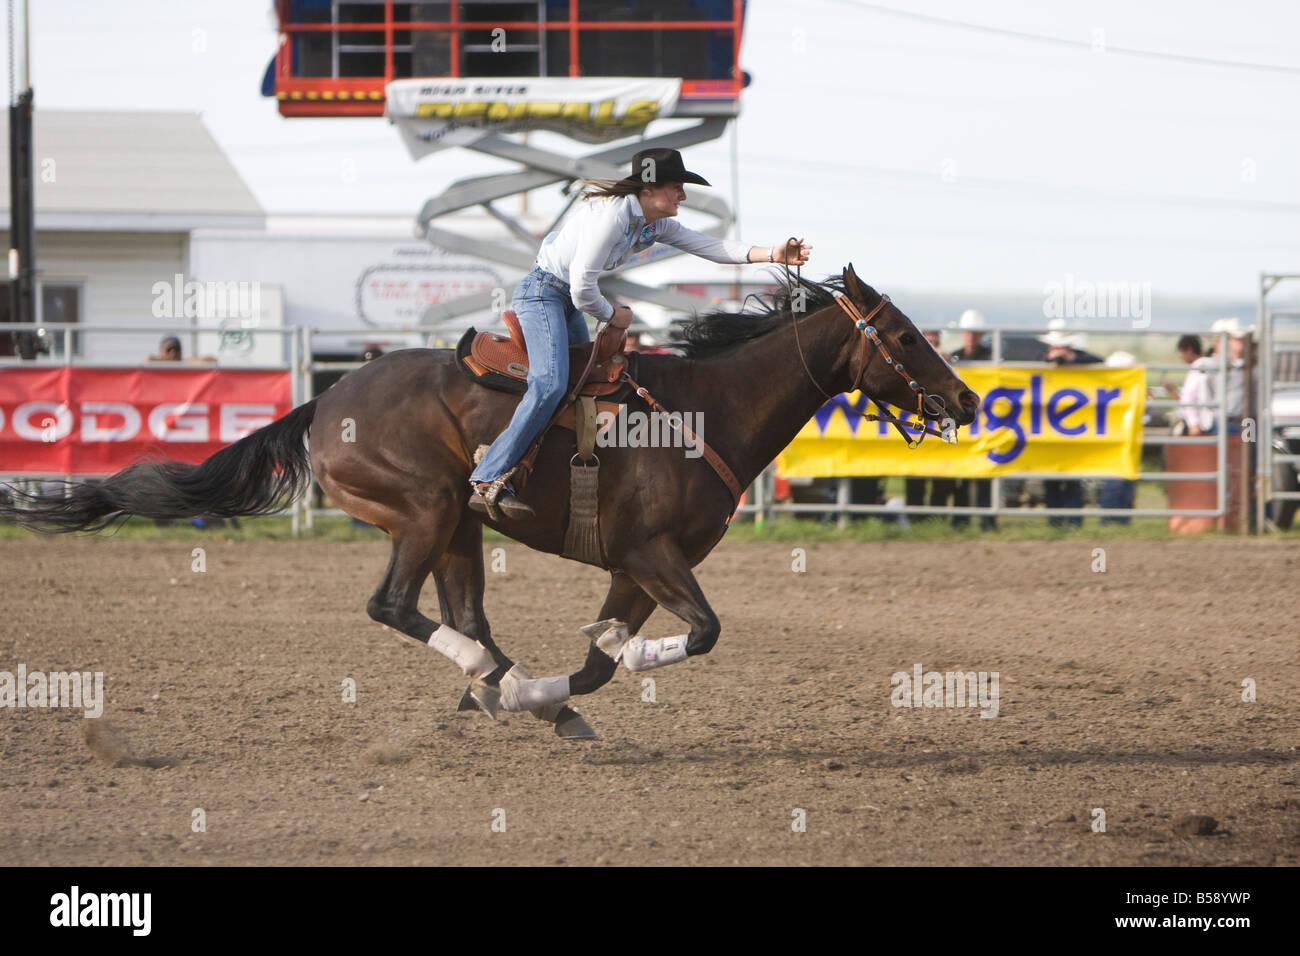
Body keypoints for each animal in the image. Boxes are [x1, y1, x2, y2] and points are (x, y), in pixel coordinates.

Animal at [1, 264, 979, 739]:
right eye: (900, 335)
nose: (967, 400)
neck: (705, 409)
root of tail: (328, 397)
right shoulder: (653, 556)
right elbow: (697, 633)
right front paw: (577, 679)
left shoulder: (637, 568)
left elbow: (600, 658)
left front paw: (562, 695)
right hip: (428, 510)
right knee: (396, 606)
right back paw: (488, 679)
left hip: (459, 530)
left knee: (462, 612)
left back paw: (507, 689)